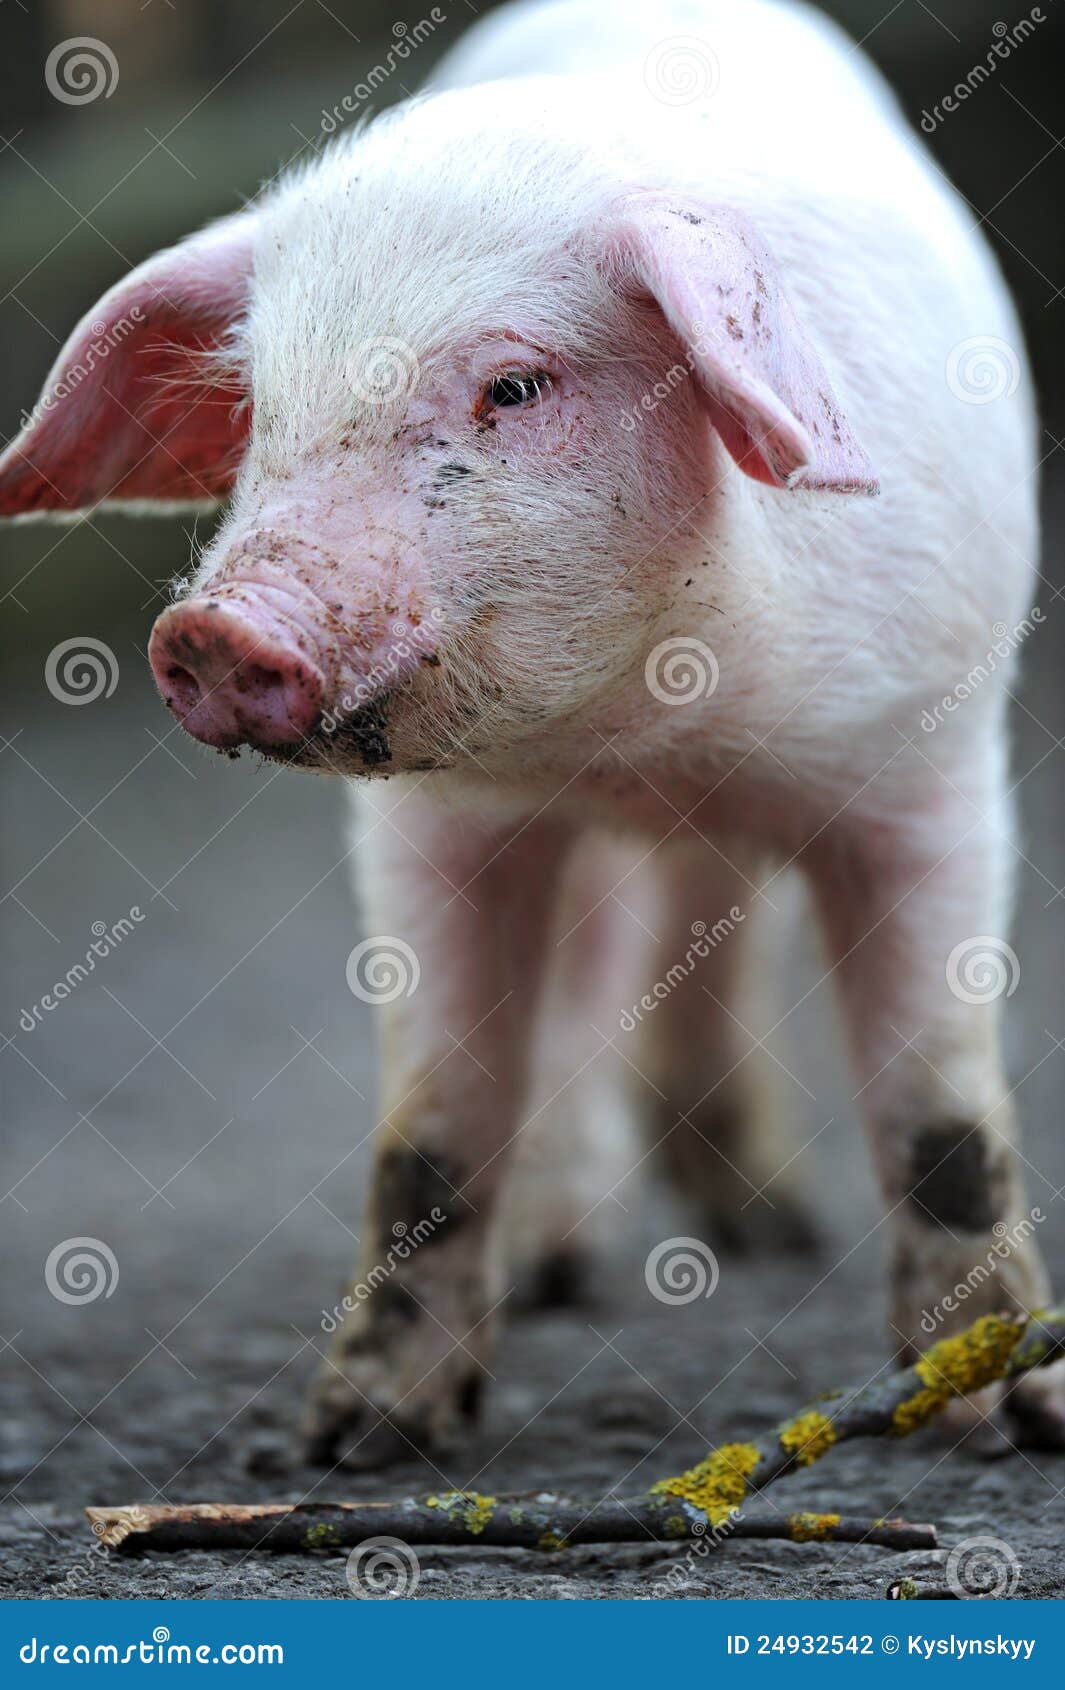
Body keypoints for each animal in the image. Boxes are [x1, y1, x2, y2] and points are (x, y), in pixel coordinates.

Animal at [3, 0, 1061, 1465]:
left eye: (513, 385)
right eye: (264, 401)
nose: (214, 629)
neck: (648, 737)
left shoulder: (930, 764)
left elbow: (941, 1114)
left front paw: (1005, 1416)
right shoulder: (433, 828)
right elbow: (436, 1129)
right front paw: (361, 1440)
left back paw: (766, 1226)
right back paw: (567, 1262)